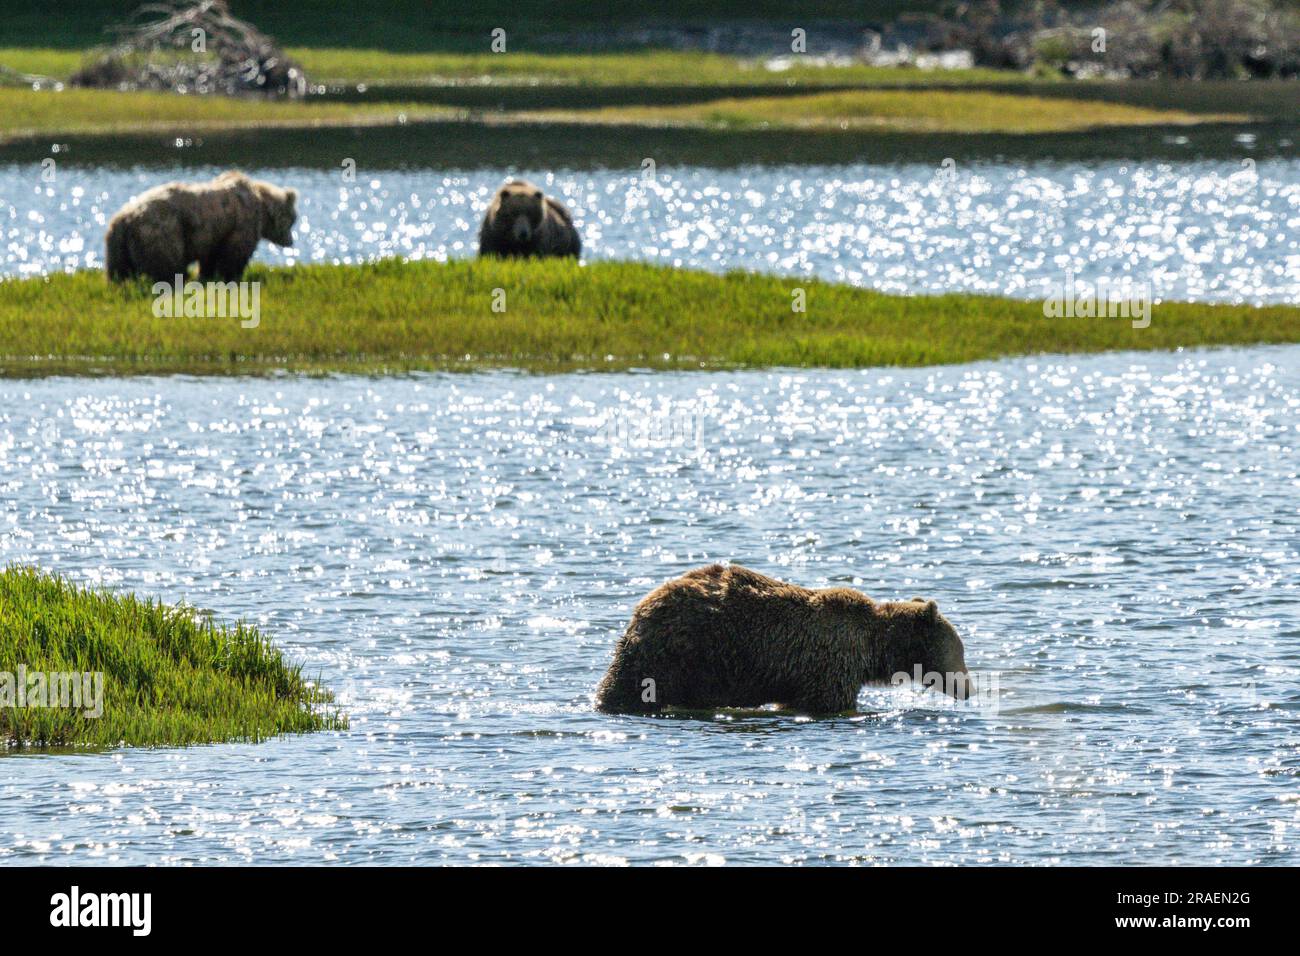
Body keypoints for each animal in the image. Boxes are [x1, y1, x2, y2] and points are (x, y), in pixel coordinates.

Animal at [105, 170, 297, 283]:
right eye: (293, 219)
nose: (291, 242)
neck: (262, 206)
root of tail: (124, 218)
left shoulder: (215, 234)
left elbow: (210, 258)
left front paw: (207, 276)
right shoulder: (242, 224)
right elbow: (235, 255)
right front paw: (231, 277)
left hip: (118, 245)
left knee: (117, 271)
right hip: (162, 232)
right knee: (166, 266)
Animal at [594, 564, 971, 715]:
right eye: (960, 651)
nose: (969, 689)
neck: (874, 650)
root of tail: (641, 607)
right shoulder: (830, 665)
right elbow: (827, 701)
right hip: (677, 651)